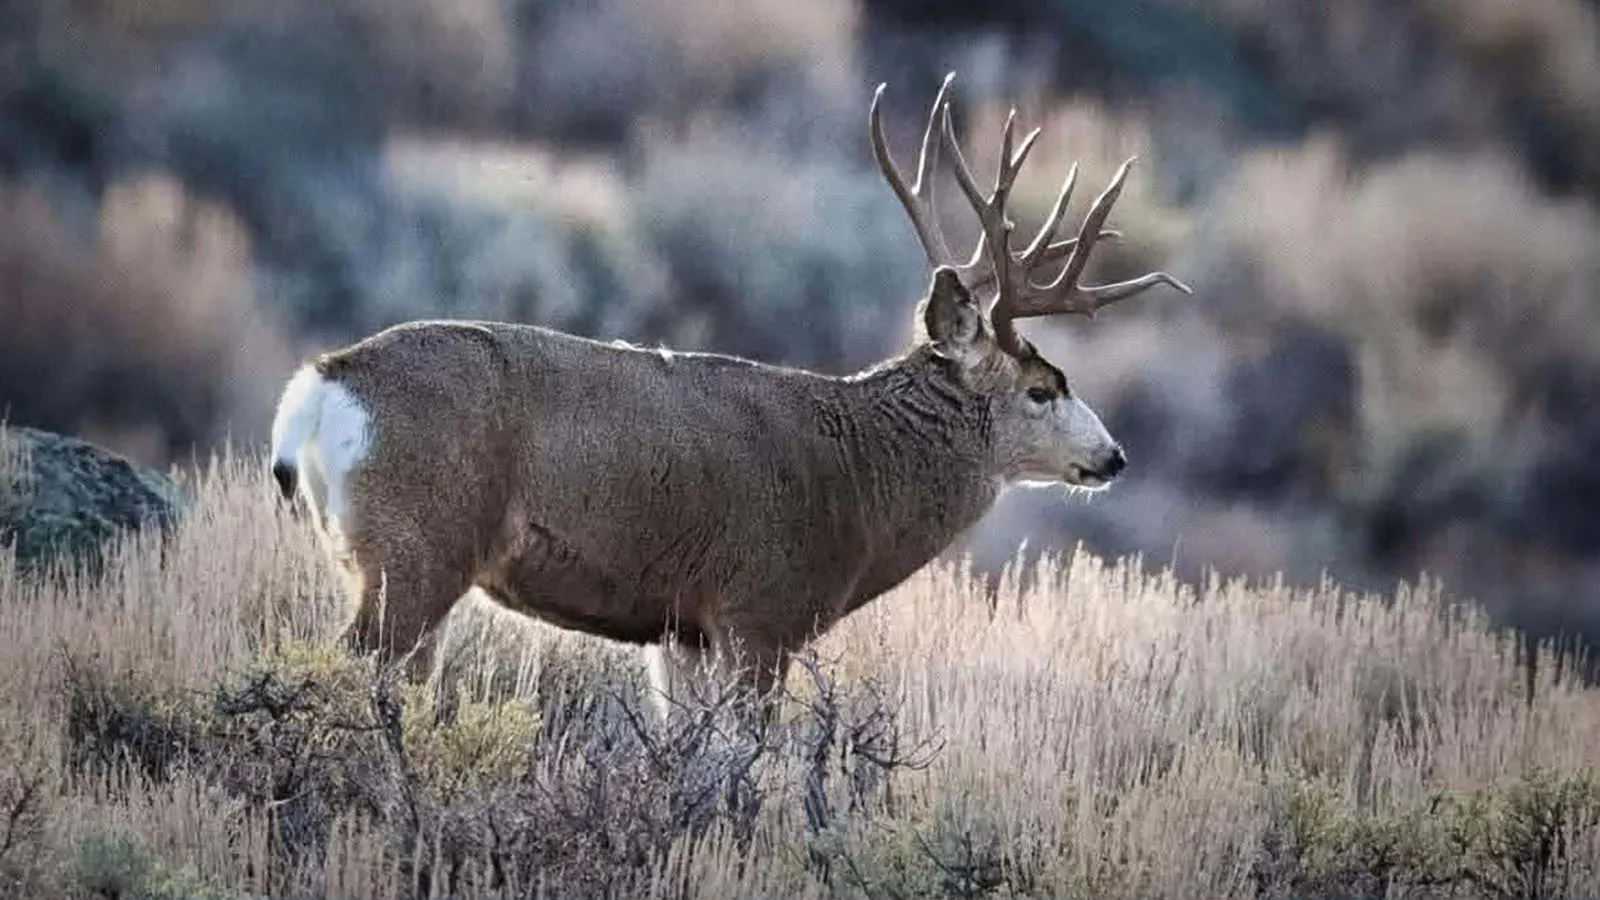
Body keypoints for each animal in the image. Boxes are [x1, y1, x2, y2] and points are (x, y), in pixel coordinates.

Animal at [268, 74, 1190, 724]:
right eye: (1043, 388)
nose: (1113, 455)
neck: (861, 479)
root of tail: (322, 384)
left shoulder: (682, 630)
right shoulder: (762, 610)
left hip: (378, 550)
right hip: (418, 541)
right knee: (361, 664)